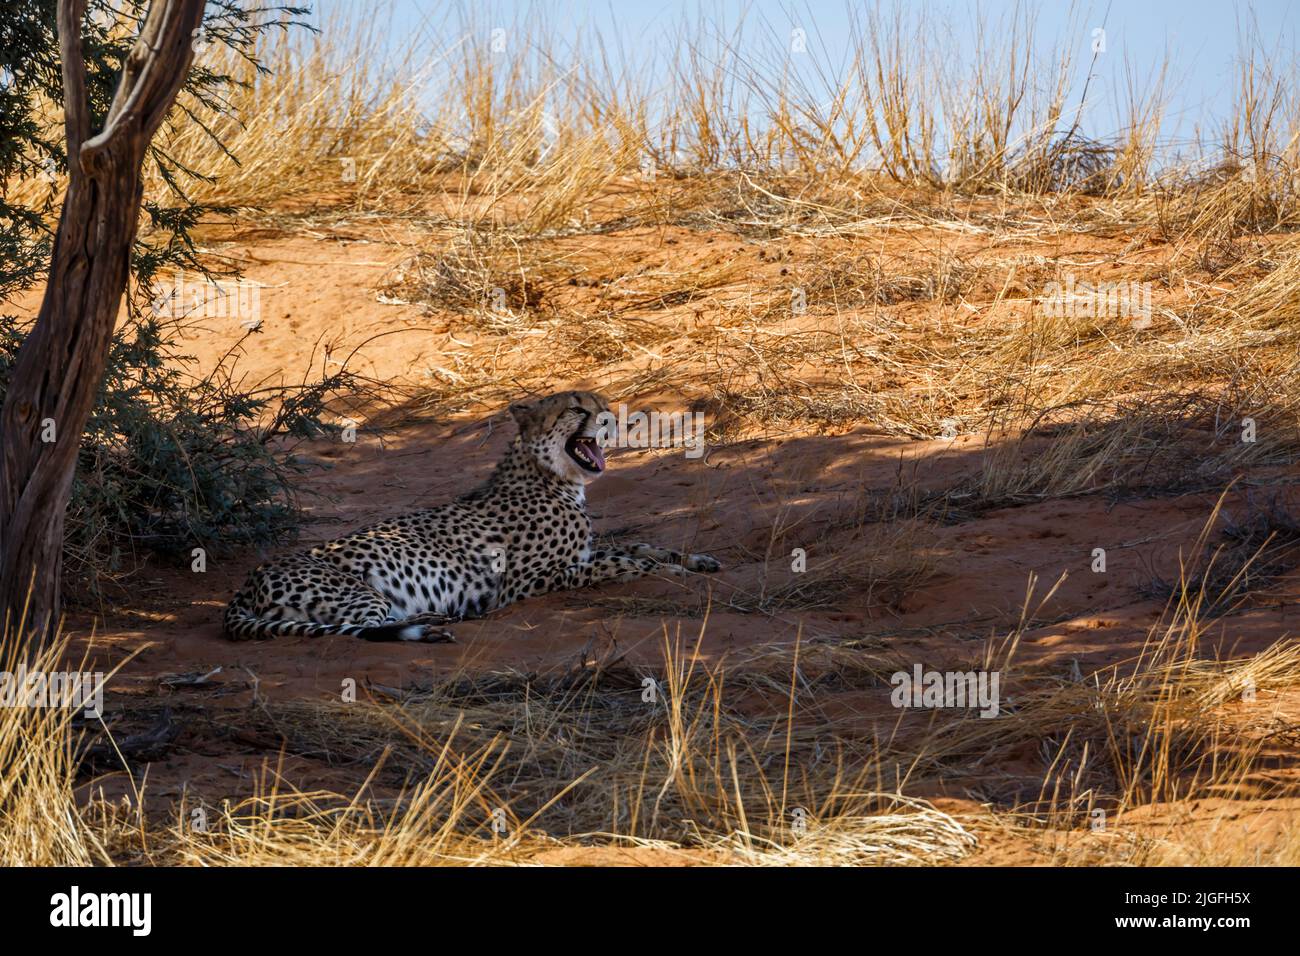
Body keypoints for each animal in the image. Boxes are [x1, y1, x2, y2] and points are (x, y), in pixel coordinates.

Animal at [223, 390, 719, 642]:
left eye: (601, 405)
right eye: (578, 409)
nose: (611, 419)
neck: (549, 475)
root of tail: (251, 579)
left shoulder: (581, 553)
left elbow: (637, 545)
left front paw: (694, 559)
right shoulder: (524, 583)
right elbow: (621, 562)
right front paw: (670, 570)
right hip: (362, 593)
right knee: (360, 626)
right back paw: (431, 626)